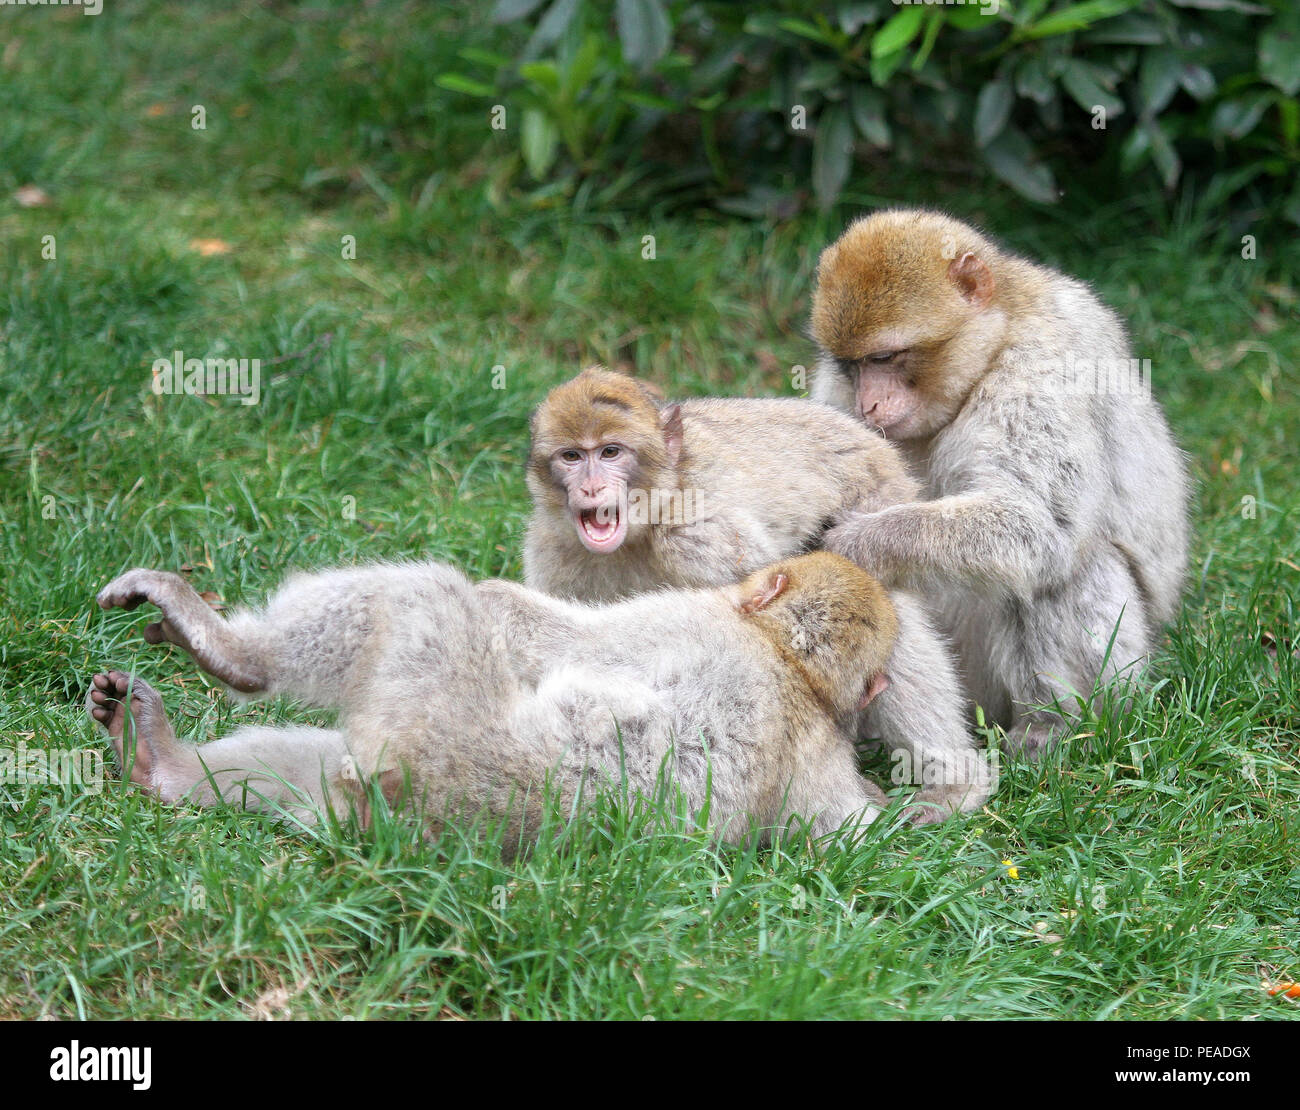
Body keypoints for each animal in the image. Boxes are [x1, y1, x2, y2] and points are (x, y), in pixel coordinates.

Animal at [86, 552, 898, 850]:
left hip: (430, 730)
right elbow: (854, 830)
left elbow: (532, 625)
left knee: (422, 595)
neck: (794, 668)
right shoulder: (824, 755)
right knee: (318, 768)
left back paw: (231, 653)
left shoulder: (686, 617)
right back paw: (165, 763)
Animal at [523, 366, 992, 821]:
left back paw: (957, 782)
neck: (641, 529)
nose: (590, 489)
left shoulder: (697, 532)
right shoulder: (552, 551)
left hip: (876, 496)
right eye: (571, 456)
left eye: (610, 452)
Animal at [808, 208, 1190, 755]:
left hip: (1109, 682)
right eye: (851, 365)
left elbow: (1038, 525)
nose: (869, 403)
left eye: (884, 358)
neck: (996, 339)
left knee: (1065, 569)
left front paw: (859, 542)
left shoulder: (1039, 368)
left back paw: (1054, 728)